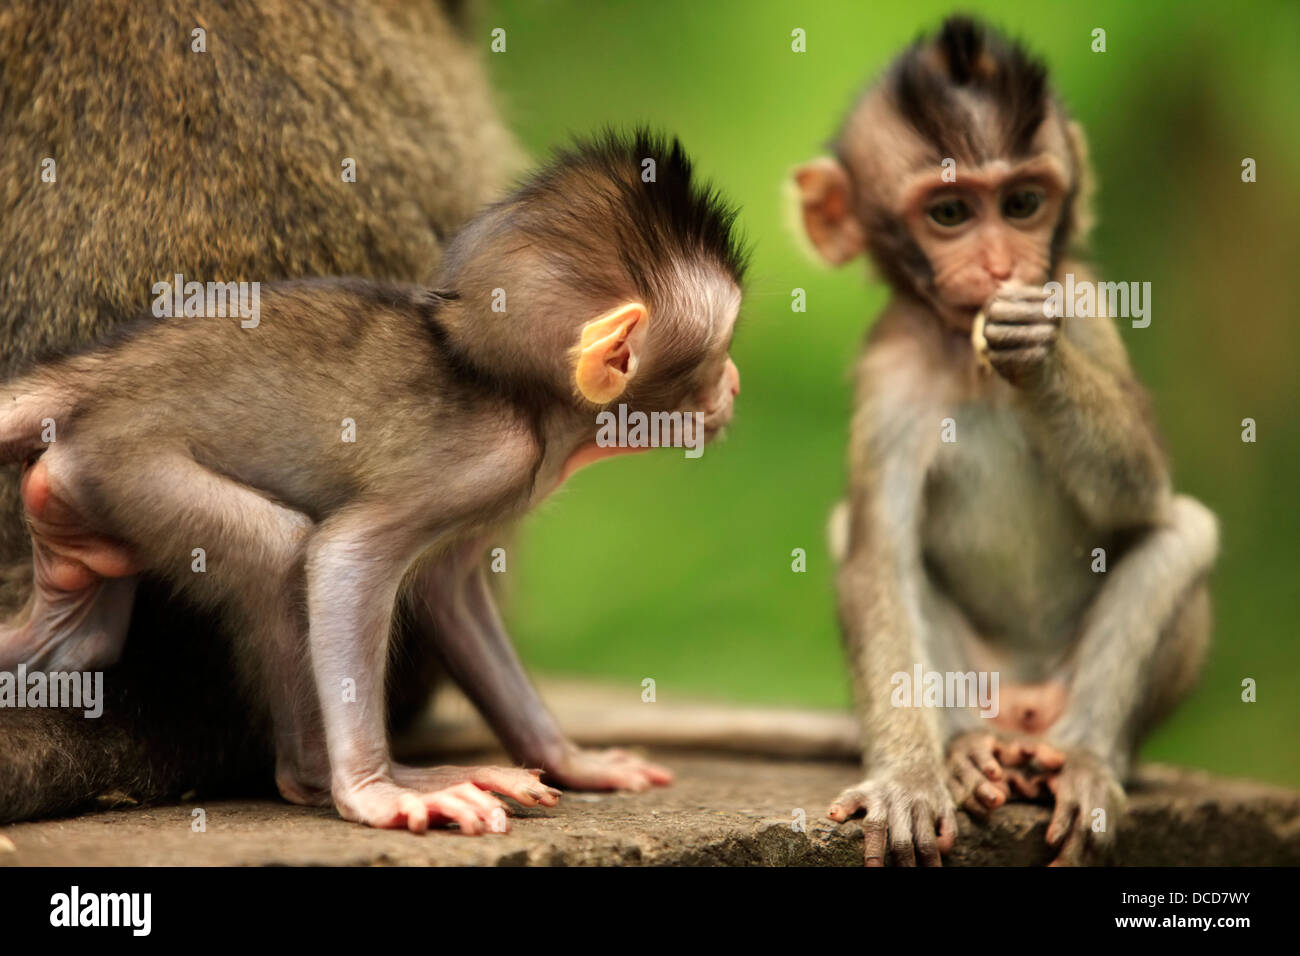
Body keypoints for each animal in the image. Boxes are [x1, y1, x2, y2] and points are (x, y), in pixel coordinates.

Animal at [0, 130, 746, 831]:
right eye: (717, 353)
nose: (734, 385)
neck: (516, 395)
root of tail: (95, 380)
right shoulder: (489, 460)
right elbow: (346, 558)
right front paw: (375, 792)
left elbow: (450, 592)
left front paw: (571, 761)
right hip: (129, 465)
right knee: (276, 553)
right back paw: (325, 775)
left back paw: (59, 628)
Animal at [793, 16, 1218, 865]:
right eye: (950, 213)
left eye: (1023, 203)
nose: (1000, 266)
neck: (967, 355)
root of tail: (1023, 710)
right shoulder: (888, 371)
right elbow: (877, 557)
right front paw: (908, 779)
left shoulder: (1083, 299)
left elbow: (1142, 492)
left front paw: (1036, 352)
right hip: (980, 690)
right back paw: (962, 752)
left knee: (1182, 530)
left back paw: (1084, 761)